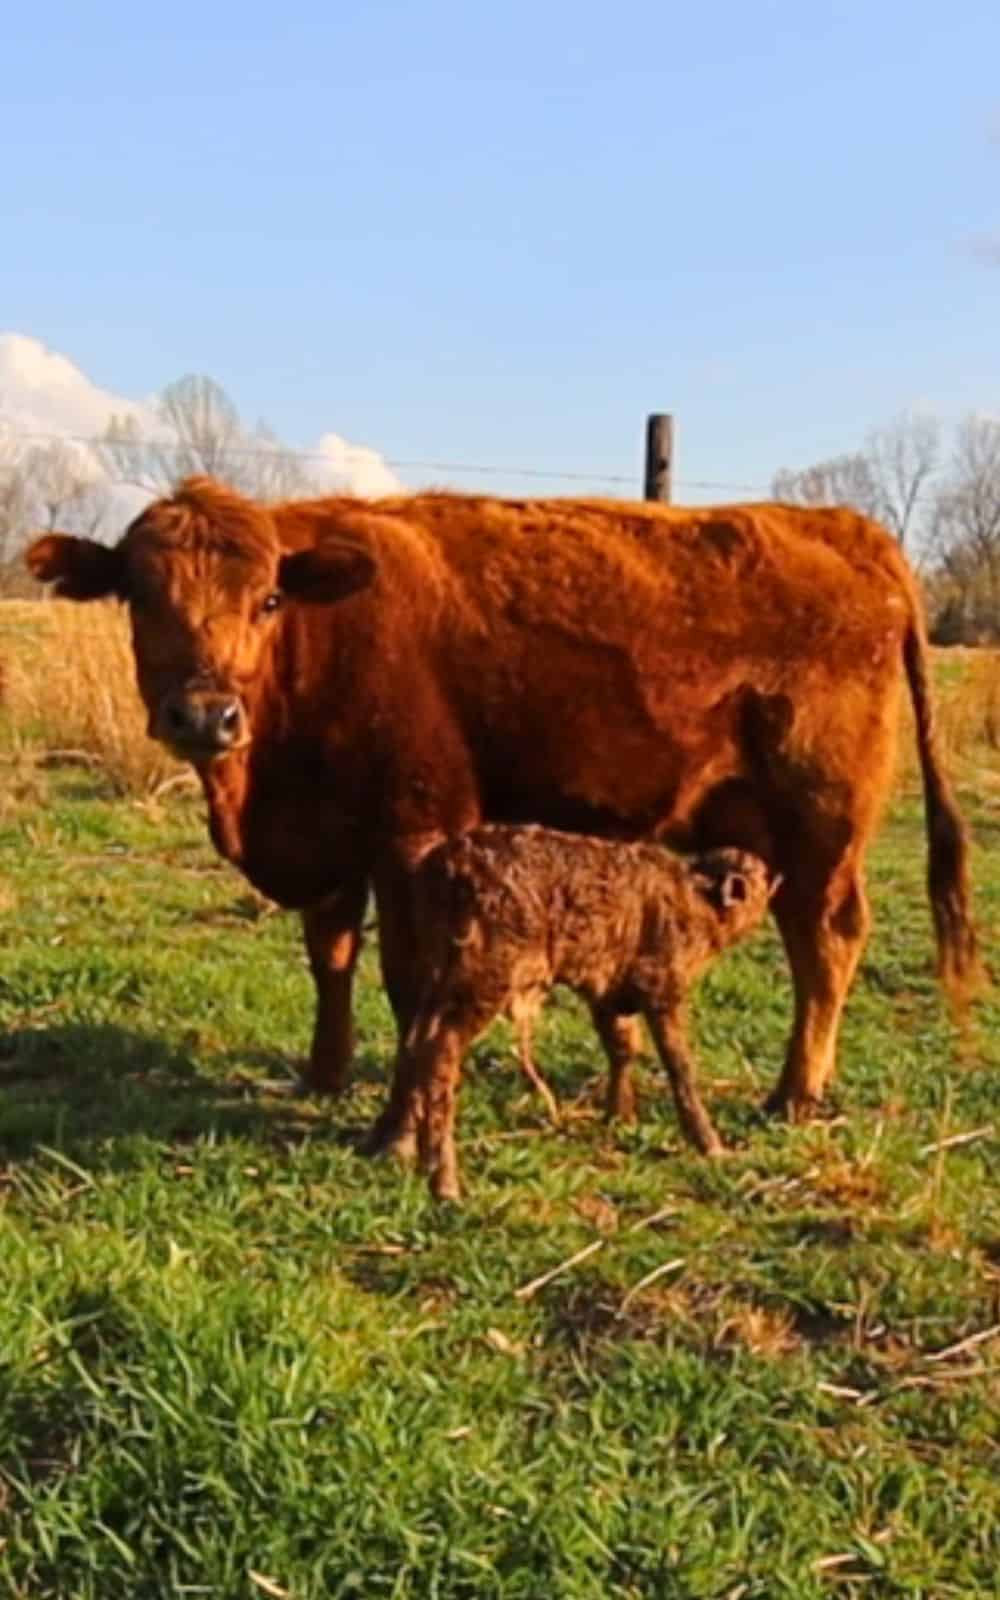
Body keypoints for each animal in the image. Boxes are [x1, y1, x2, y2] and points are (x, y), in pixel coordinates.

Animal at [26, 478, 979, 1156]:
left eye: (267, 600)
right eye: (139, 597)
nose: (205, 715)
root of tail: (847, 530)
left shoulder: (414, 836)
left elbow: (408, 980)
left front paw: (397, 1125)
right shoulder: (334, 842)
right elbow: (330, 959)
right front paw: (325, 1076)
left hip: (823, 824)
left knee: (828, 942)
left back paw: (794, 1095)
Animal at [396, 827, 775, 1199]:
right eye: (758, 877)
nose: (774, 878)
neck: (695, 899)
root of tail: (449, 864)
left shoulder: (608, 992)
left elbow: (622, 1047)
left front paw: (620, 1119)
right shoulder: (661, 988)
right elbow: (678, 1063)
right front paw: (710, 1144)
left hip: (433, 978)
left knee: (416, 1044)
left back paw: (420, 1162)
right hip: (481, 984)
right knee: (441, 1054)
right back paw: (445, 1184)